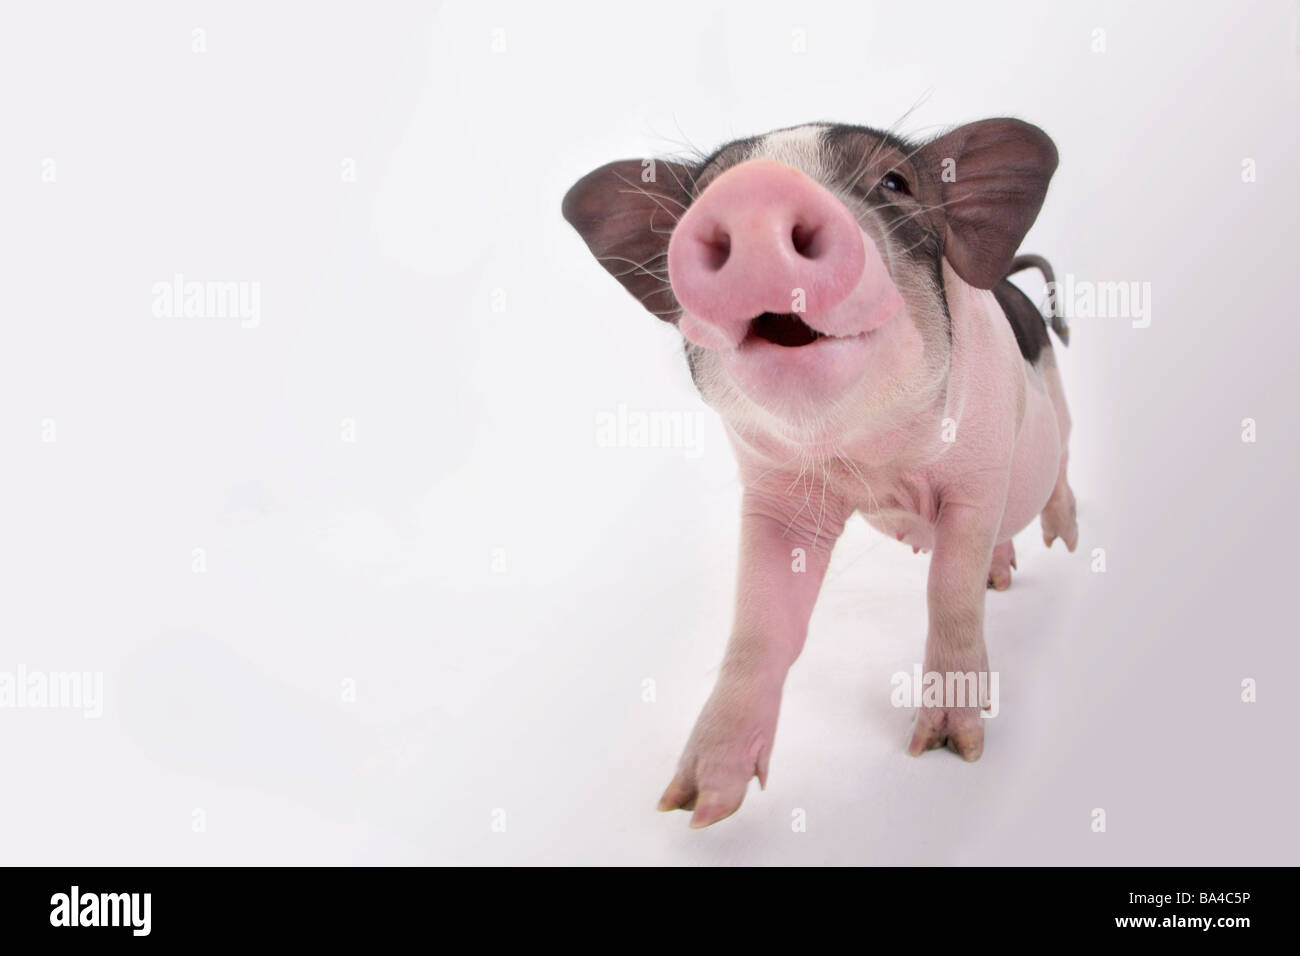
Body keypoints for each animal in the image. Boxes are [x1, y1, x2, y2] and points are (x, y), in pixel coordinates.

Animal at [563, 119, 1078, 828]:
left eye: (896, 182)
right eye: (704, 191)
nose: (756, 189)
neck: (871, 464)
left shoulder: (979, 471)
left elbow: (948, 591)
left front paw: (948, 749)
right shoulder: (778, 501)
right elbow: (759, 627)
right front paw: (693, 808)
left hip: (1055, 398)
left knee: (1063, 463)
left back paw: (1066, 542)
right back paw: (1001, 577)